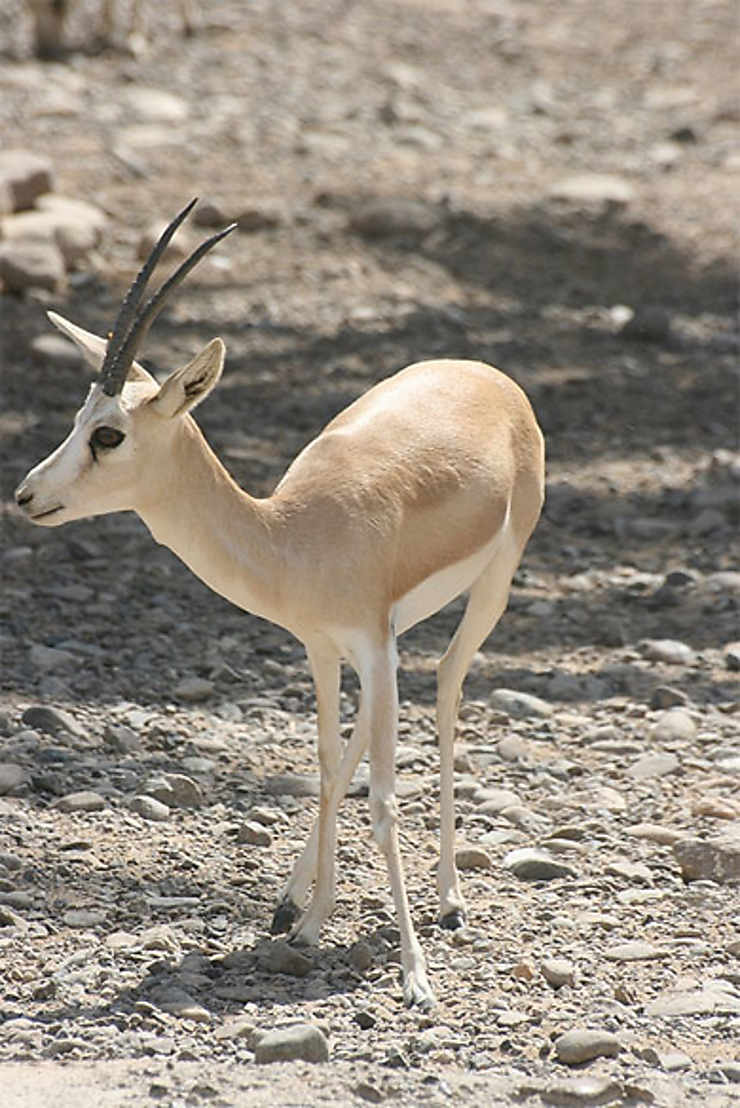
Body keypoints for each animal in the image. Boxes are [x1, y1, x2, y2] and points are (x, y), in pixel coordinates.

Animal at [15, 200, 545, 1009]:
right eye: (78, 419)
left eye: (108, 434)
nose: (26, 496)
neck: (295, 531)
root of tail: (487, 376)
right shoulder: (322, 647)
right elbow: (326, 767)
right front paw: (312, 920)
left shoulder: (369, 644)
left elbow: (383, 800)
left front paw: (415, 975)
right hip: (394, 637)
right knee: (366, 732)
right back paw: (292, 904)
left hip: (491, 587)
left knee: (449, 689)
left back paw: (451, 901)